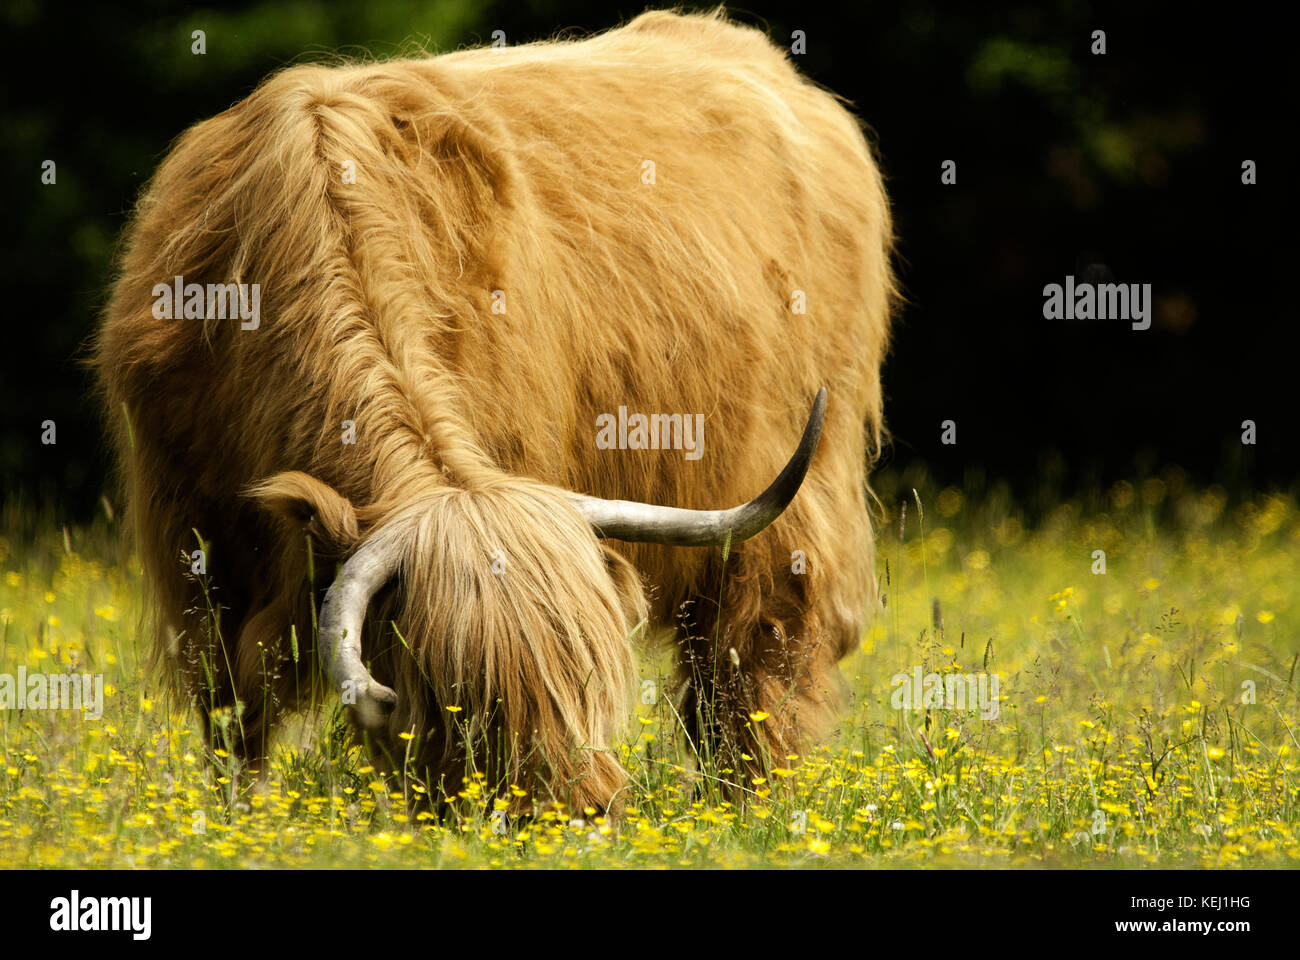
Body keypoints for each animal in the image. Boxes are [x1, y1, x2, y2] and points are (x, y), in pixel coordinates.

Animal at [95, 9, 895, 814]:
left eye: (589, 676)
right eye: (462, 696)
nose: (585, 807)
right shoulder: (198, 564)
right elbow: (236, 717)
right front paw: (243, 819)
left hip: (793, 501)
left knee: (755, 656)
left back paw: (751, 802)